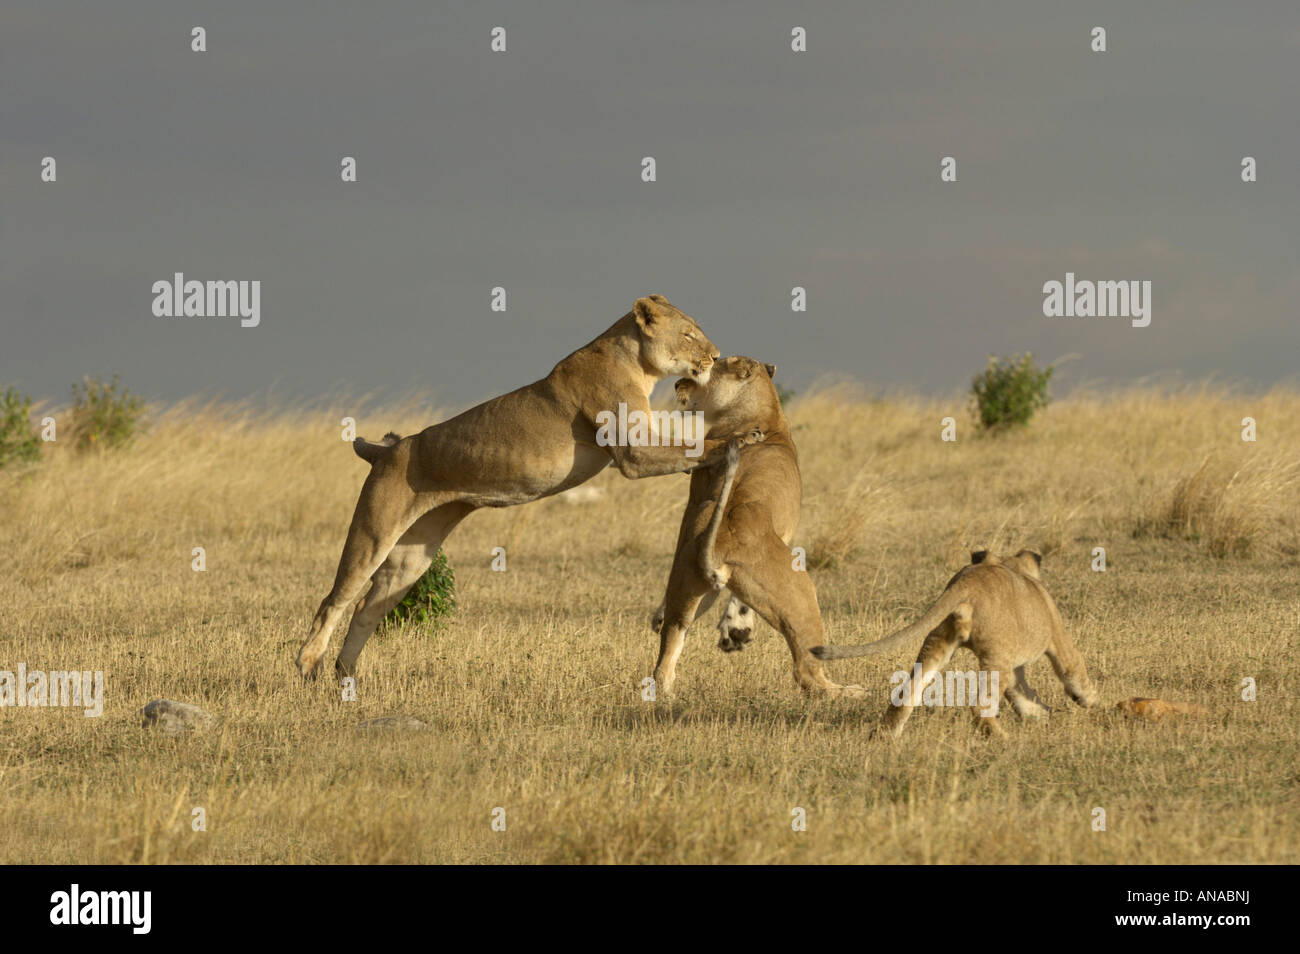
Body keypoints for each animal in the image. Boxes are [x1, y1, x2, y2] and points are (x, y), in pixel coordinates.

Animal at [295, 295, 762, 679]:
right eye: (688, 334)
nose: (714, 356)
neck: (636, 363)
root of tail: (387, 450)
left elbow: (687, 449)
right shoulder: (633, 452)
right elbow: (694, 445)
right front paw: (746, 436)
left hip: (413, 555)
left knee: (365, 609)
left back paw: (345, 676)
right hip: (373, 534)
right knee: (334, 600)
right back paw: (307, 664)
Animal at [649, 356, 867, 698]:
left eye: (703, 371)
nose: (676, 383)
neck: (766, 414)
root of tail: (719, 540)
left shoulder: (693, 505)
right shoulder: (786, 532)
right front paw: (737, 629)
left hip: (691, 581)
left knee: (670, 642)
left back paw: (667, 691)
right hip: (802, 591)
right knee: (806, 673)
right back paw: (848, 692)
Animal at [811, 549, 1099, 736]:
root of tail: (968, 582)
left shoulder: (1015, 666)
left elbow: (1021, 692)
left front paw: (1039, 714)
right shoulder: (1057, 637)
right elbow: (1073, 669)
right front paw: (1092, 702)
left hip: (937, 642)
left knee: (907, 694)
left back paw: (884, 736)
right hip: (997, 655)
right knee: (980, 707)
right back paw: (1003, 740)